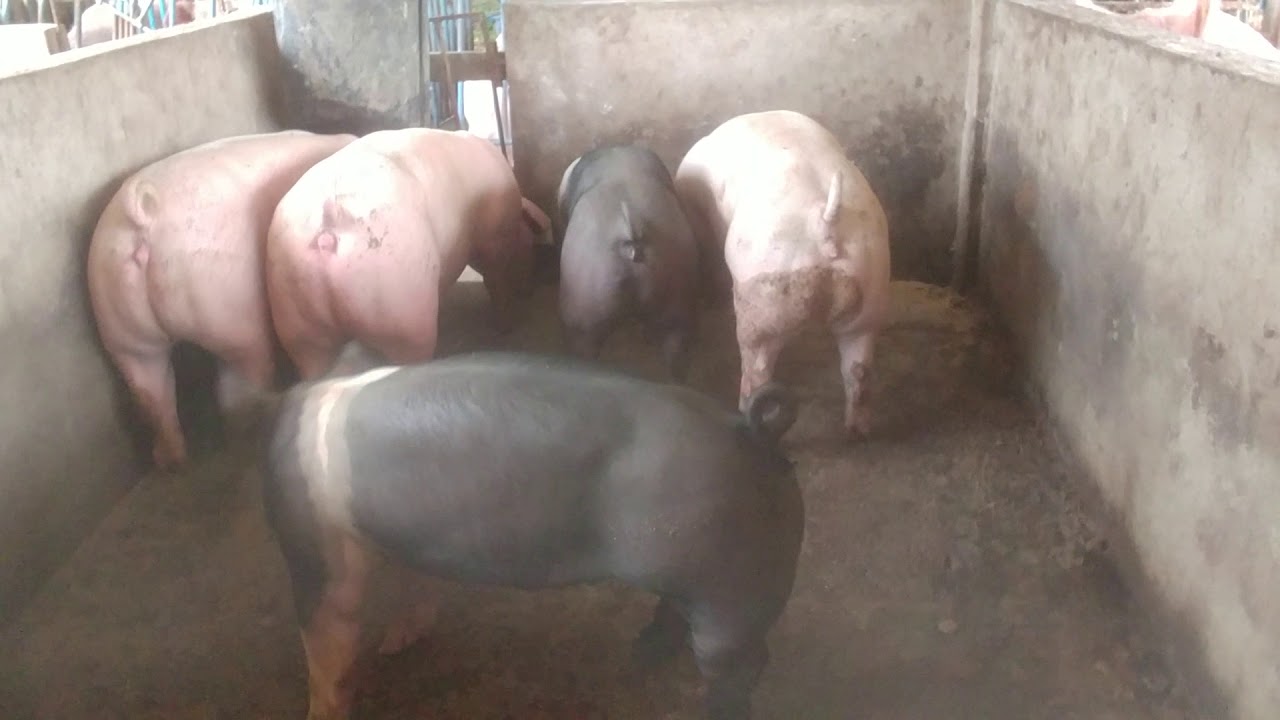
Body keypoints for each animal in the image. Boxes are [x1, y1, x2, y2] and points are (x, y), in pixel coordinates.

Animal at [87, 130, 357, 471]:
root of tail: (144, 212)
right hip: (230, 312)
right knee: (240, 385)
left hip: (120, 326)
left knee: (150, 390)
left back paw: (170, 460)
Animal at [262, 351, 804, 720]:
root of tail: (753, 430)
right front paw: (399, 642)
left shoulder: (316, 552)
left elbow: (326, 643)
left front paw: (322, 708)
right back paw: (641, 651)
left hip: (731, 588)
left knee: (746, 663)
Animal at [265, 128, 551, 381]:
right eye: (531, 245)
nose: (529, 290)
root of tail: (329, 222)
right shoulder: (491, 243)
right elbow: (495, 283)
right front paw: (505, 326)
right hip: (401, 312)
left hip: (296, 322)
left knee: (311, 364)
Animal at [675, 110, 891, 440]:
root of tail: (824, 223)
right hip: (871, 290)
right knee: (859, 369)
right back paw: (857, 432)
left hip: (764, 301)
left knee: (758, 367)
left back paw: (744, 411)